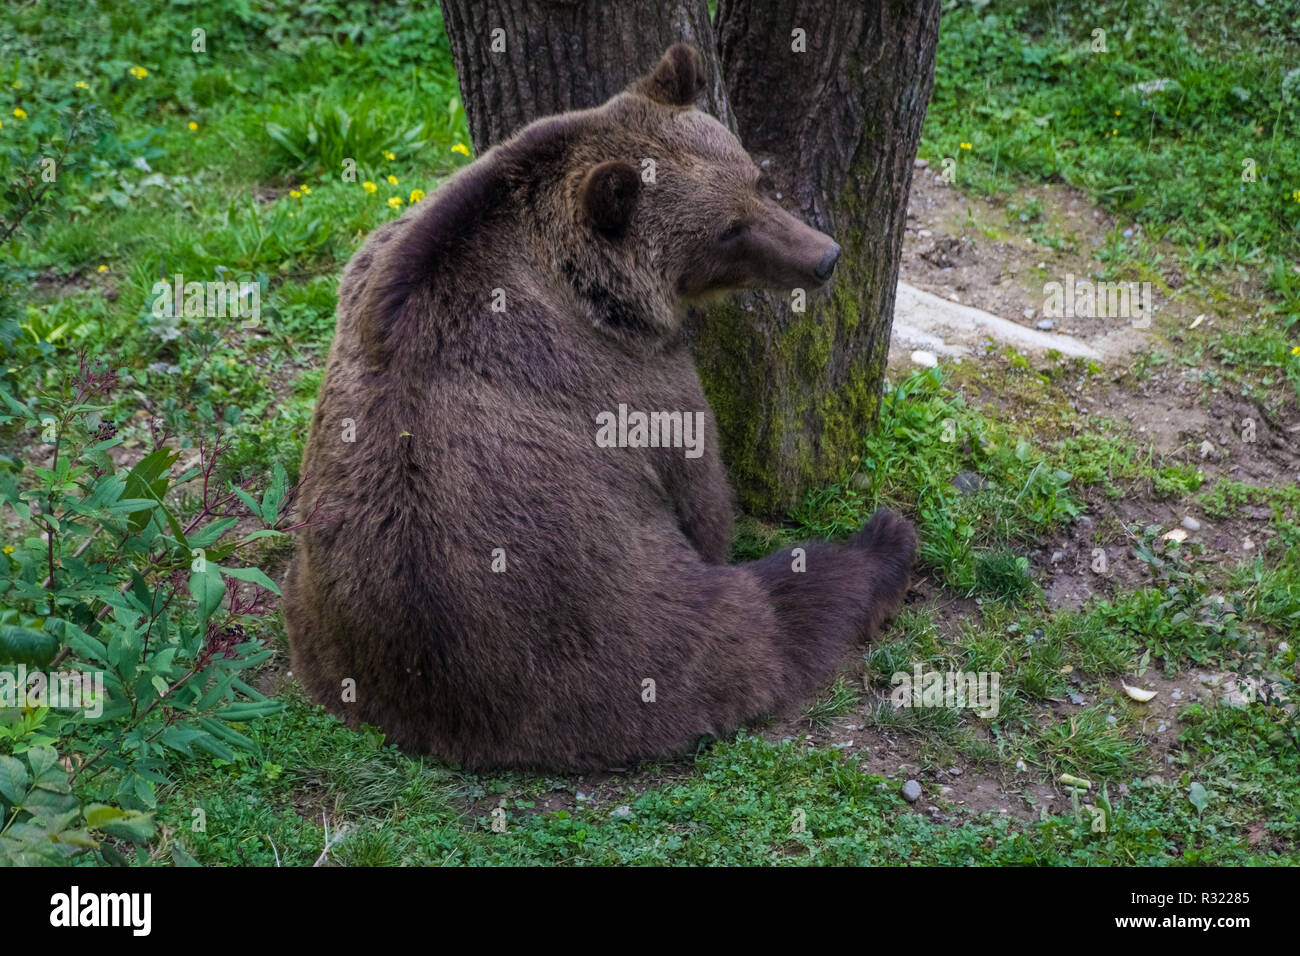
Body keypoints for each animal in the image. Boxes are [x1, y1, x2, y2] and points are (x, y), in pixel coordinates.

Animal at [283, 43, 917, 772]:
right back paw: (883, 542)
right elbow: (701, 490)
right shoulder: (632, 375)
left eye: (756, 181)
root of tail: (437, 714)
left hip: (311, 603)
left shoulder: (372, 258)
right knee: (778, 611)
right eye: (727, 231)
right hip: (623, 636)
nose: (824, 256)